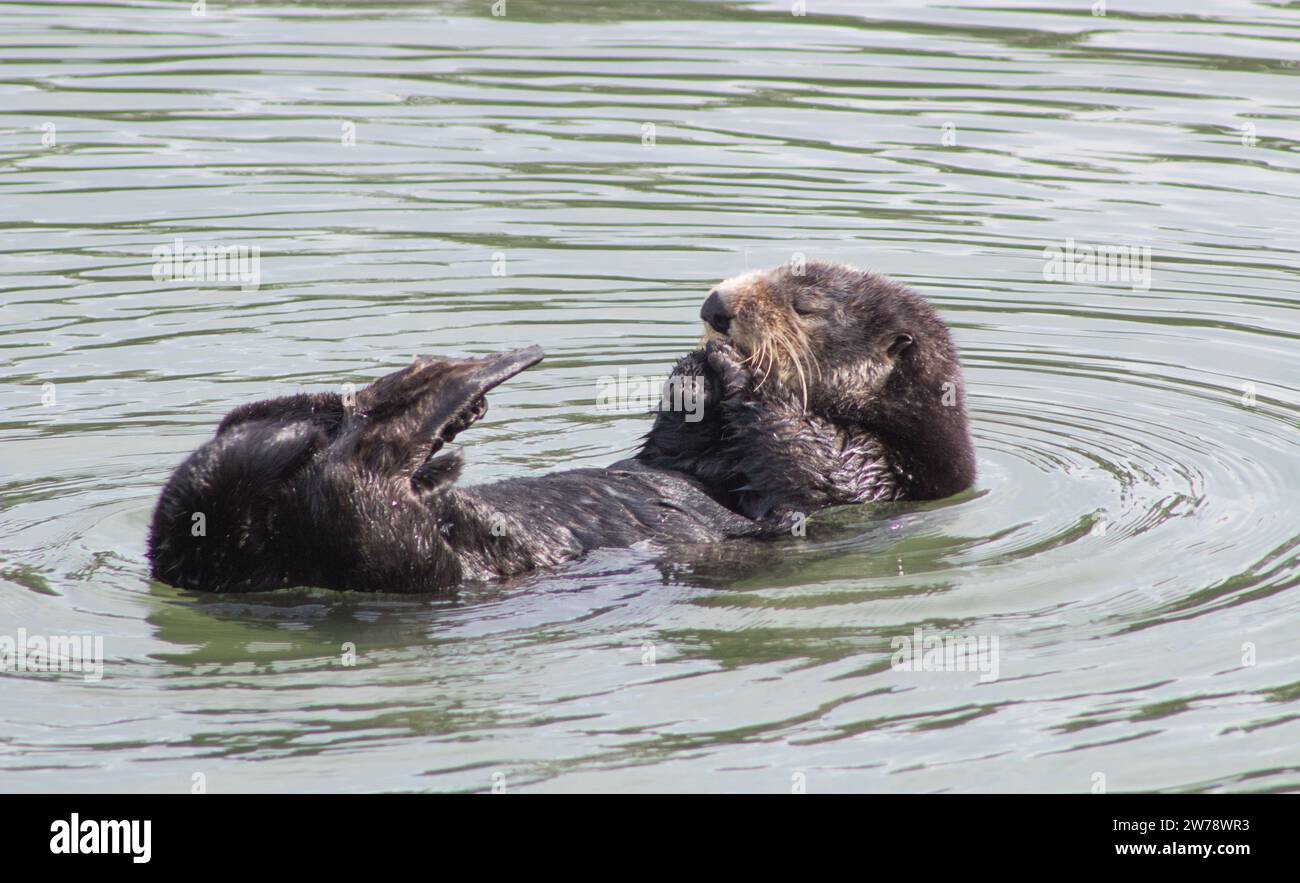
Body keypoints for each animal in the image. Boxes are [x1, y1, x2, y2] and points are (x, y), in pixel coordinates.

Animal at [148, 262, 974, 593]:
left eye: (804, 304)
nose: (715, 307)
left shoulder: (876, 474)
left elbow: (801, 467)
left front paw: (731, 372)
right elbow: (673, 445)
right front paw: (693, 369)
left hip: (404, 564)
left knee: (362, 497)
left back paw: (446, 404)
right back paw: (372, 402)